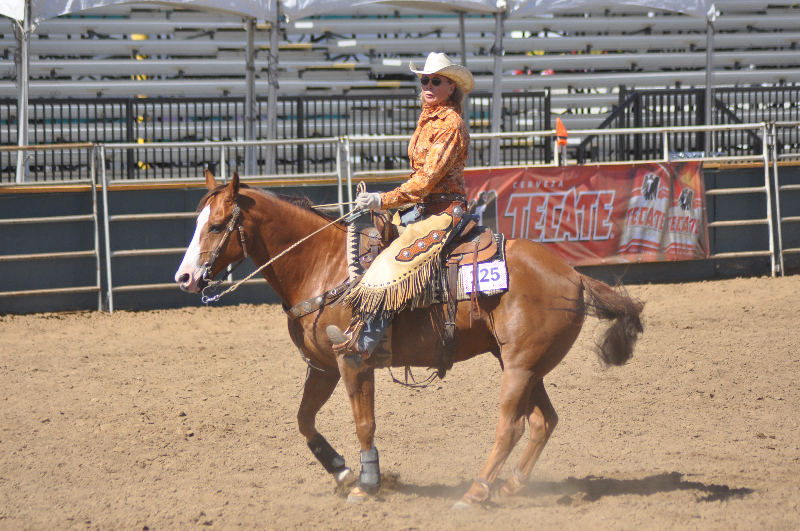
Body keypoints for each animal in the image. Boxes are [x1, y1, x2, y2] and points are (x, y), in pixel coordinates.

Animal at [174, 170, 644, 508]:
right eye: (196, 223)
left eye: (217, 225)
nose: (185, 278)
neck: (322, 265)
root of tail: (575, 275)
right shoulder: (323, 366)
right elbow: (304, 420)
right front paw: (343, 471)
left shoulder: (352, 361)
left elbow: (364, 423)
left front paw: (367, 483)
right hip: (527, 367)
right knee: (543, 422)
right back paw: (510, 486)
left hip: (520, 367)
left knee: (510, 427)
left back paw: (476, 492)